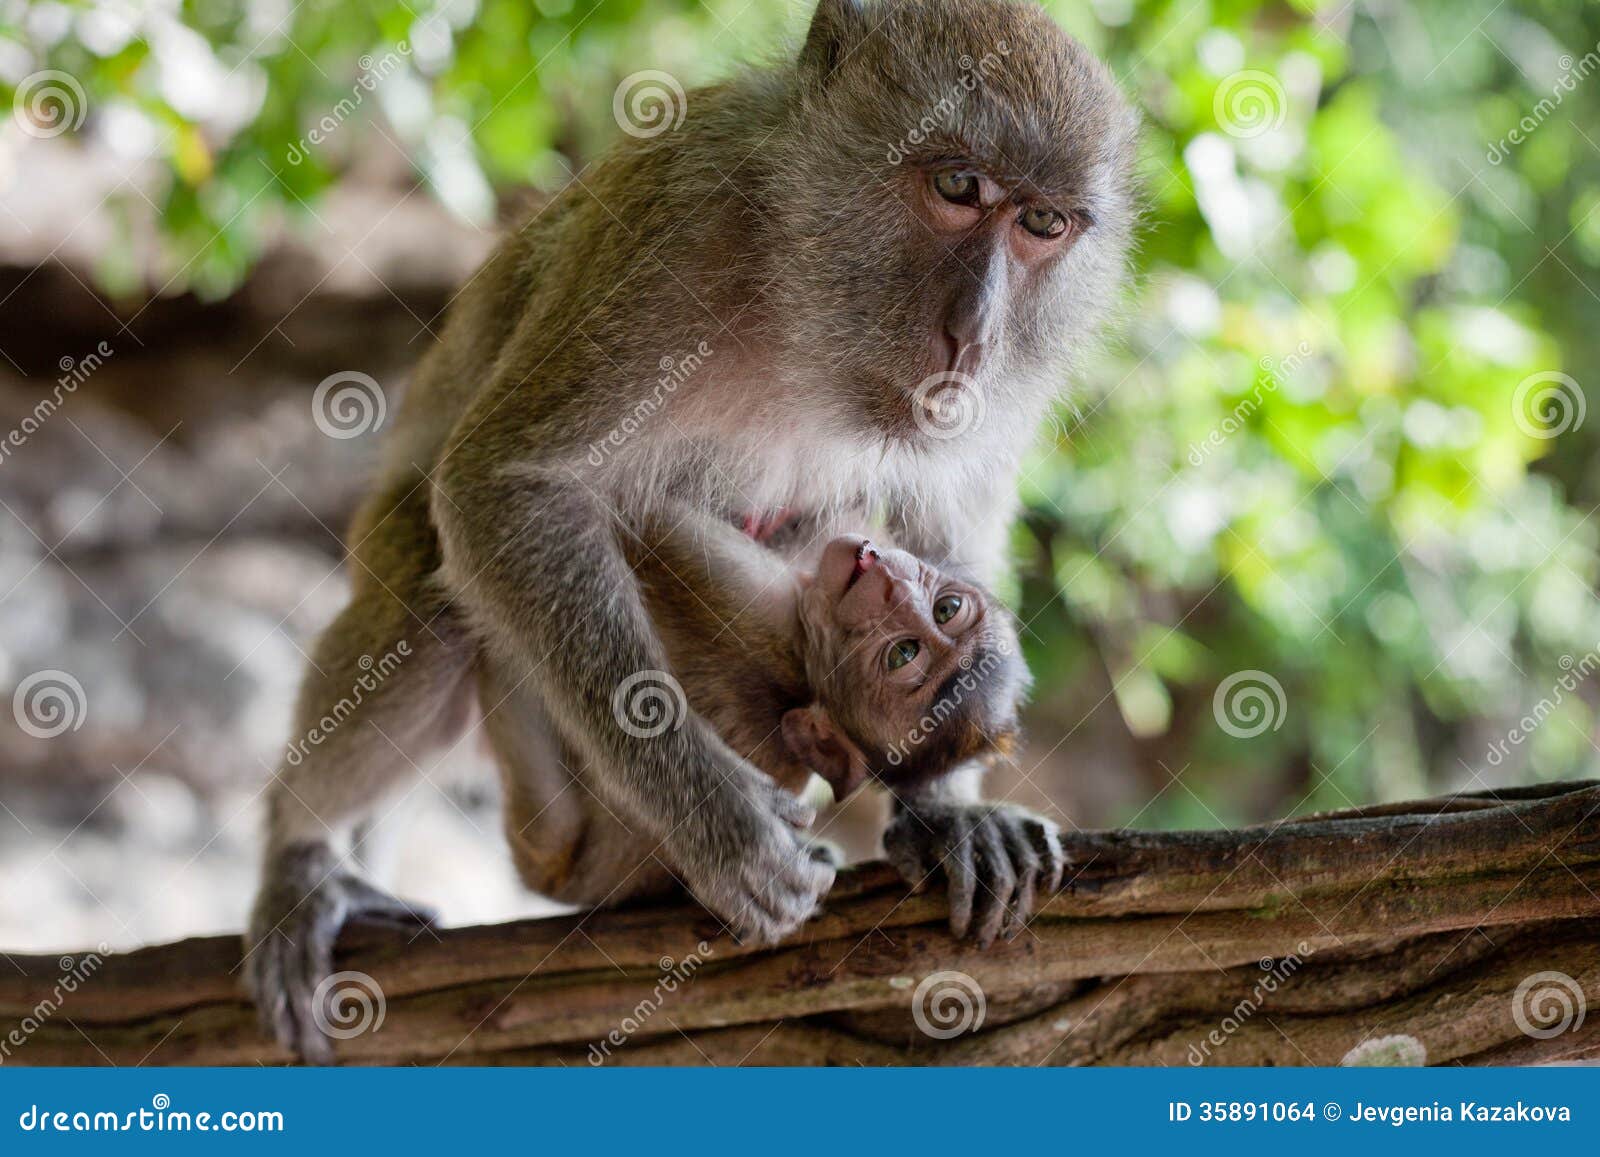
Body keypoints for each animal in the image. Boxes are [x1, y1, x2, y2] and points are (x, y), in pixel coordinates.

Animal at [246, 0, 1138, 1063]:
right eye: (959, 187)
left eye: (1044, 223)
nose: (977, 333)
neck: (809, 280)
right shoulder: (677, 227)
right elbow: (510, 485)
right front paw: (721, 826)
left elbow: (945, 512)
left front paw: (942, 808)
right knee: (431, 595)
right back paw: (299, 851)